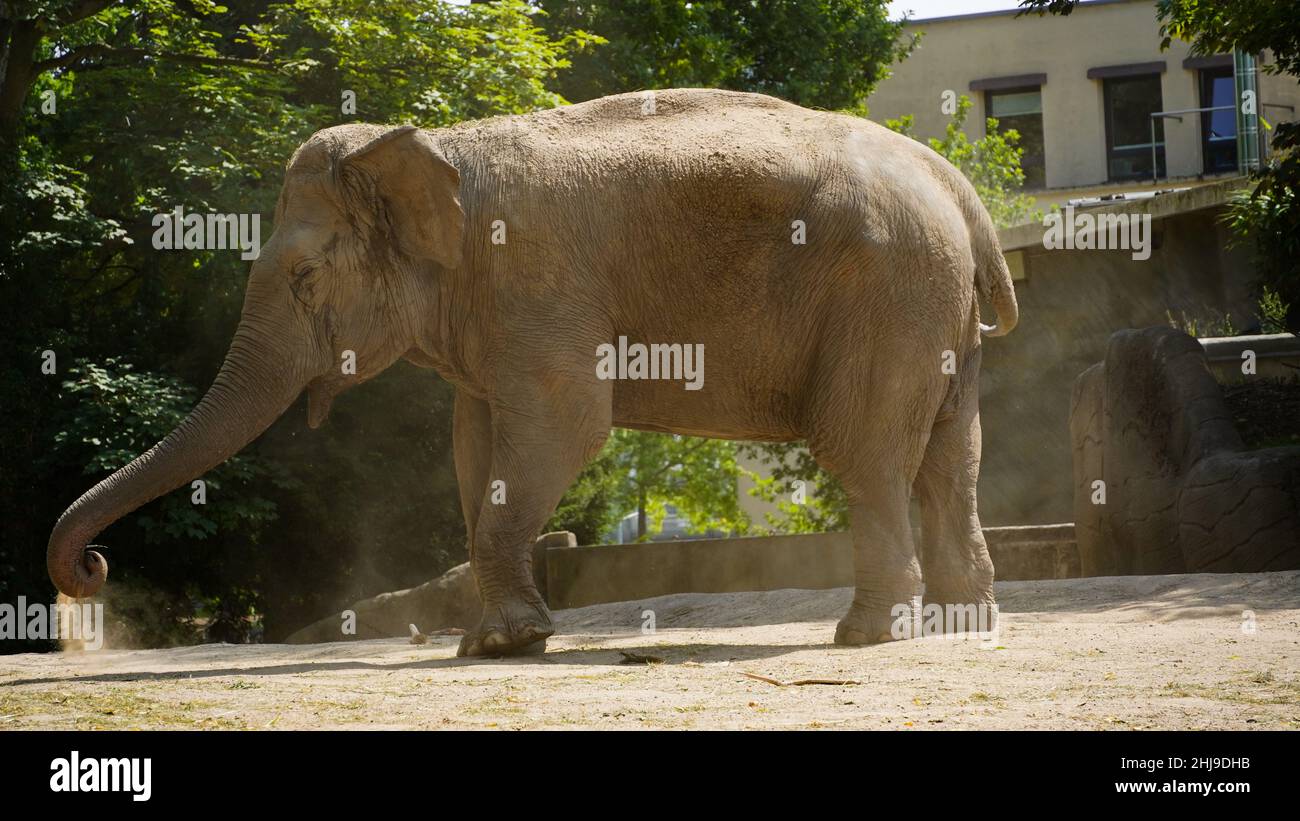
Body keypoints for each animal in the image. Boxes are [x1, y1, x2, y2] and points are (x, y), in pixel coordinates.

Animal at [47, 88, 1018, 656]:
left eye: (306, 277)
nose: (92, 565)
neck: (433, 147)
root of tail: (957, 184)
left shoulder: (534, 287)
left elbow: (564, 424)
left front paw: (508, 643)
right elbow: (473, 445)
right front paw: (488, 642)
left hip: (888, 291)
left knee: (866, 451)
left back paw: (867, 635)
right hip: (936, 311)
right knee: (952, 454)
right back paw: (962, 622)